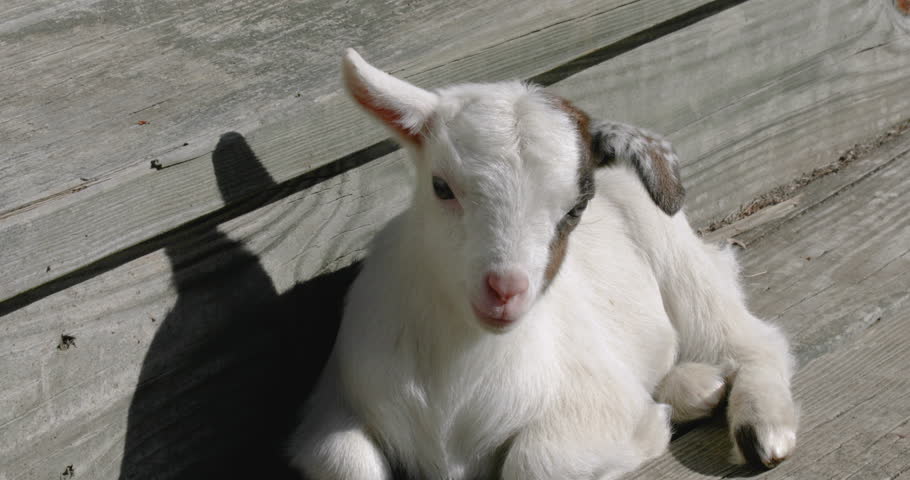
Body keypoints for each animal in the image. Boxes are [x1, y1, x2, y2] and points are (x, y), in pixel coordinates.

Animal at [288, 49, 798, 480]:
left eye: (576, 207)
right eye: (441, 187)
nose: (505, 290)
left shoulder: (595, 400)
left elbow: (535, 460)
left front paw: (650, 431)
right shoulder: (330, 410)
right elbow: (347, 461)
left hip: (680, 261)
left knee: (751, 339)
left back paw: (763, 425)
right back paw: (698, 388)